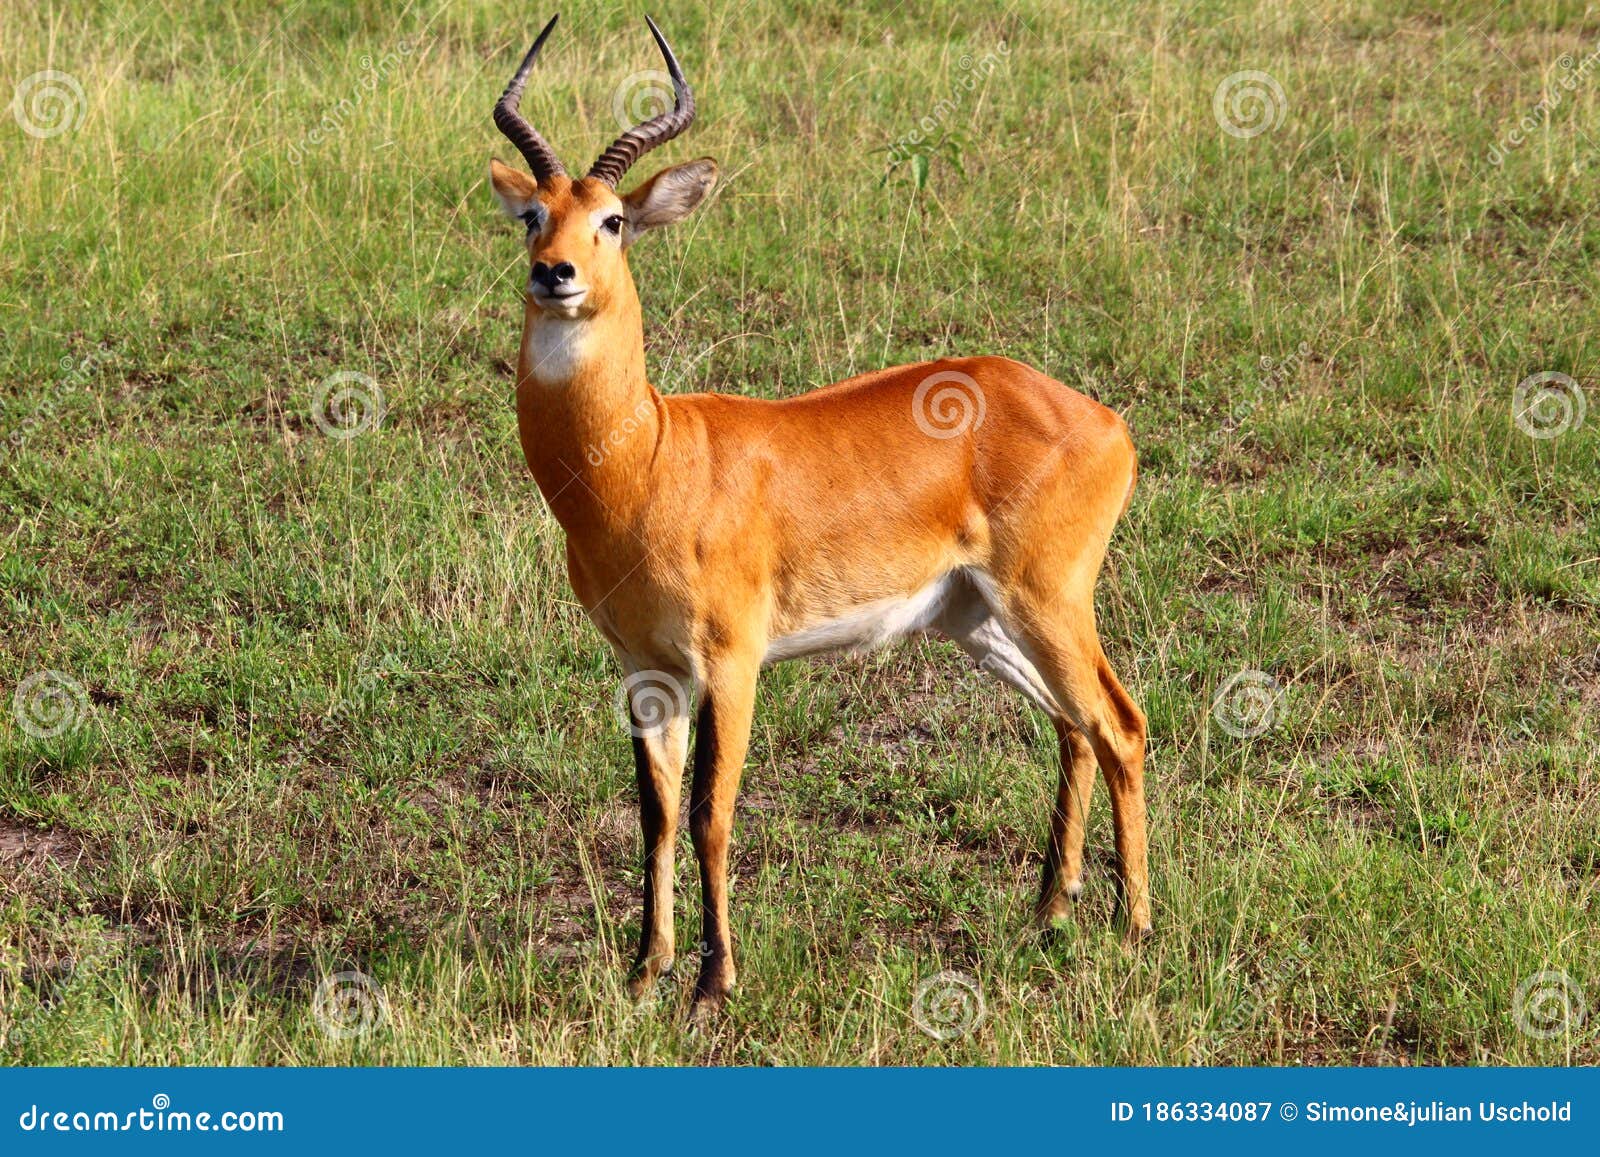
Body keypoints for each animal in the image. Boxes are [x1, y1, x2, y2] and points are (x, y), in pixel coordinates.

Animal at [488, 14, 1150, 1020]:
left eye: (613, 220)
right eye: (534, 214)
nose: (553, 274)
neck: (648, 463)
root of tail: (1101, 417)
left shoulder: (731, 662)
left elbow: (712, 814)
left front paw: (713, 984)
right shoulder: (644, 669)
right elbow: (655, 815)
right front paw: (645, 971)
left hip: (1049, 600)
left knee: (1122, 723)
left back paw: (1135, 926)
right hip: (980, 621)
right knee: (1074, 727)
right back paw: (1048, 911)